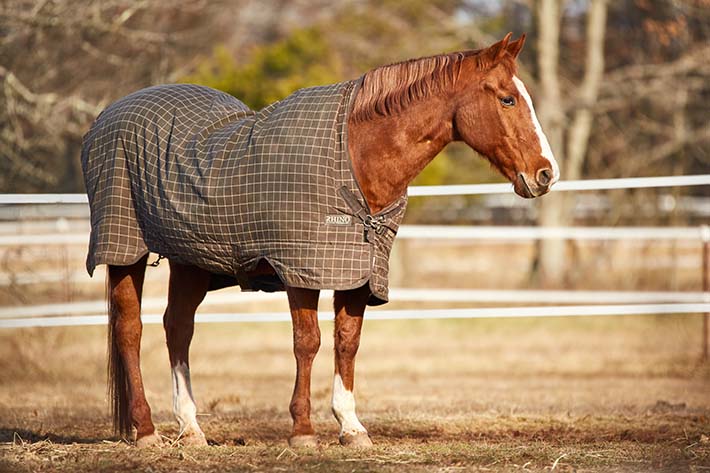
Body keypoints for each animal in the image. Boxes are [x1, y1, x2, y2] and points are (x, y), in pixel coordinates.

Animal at [81, 32, 558, 449]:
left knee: (177, 327)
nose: (546, 174)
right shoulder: (301, 271)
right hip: (124, 250)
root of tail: (106, 117)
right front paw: (303, 431)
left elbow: (347, 341)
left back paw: (191, 429)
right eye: (507, 98)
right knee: (130, 330)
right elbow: (307, 342)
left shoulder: (358, 272)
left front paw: (351, 427)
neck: (356, 158)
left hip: (193, 261)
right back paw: (146, 430)